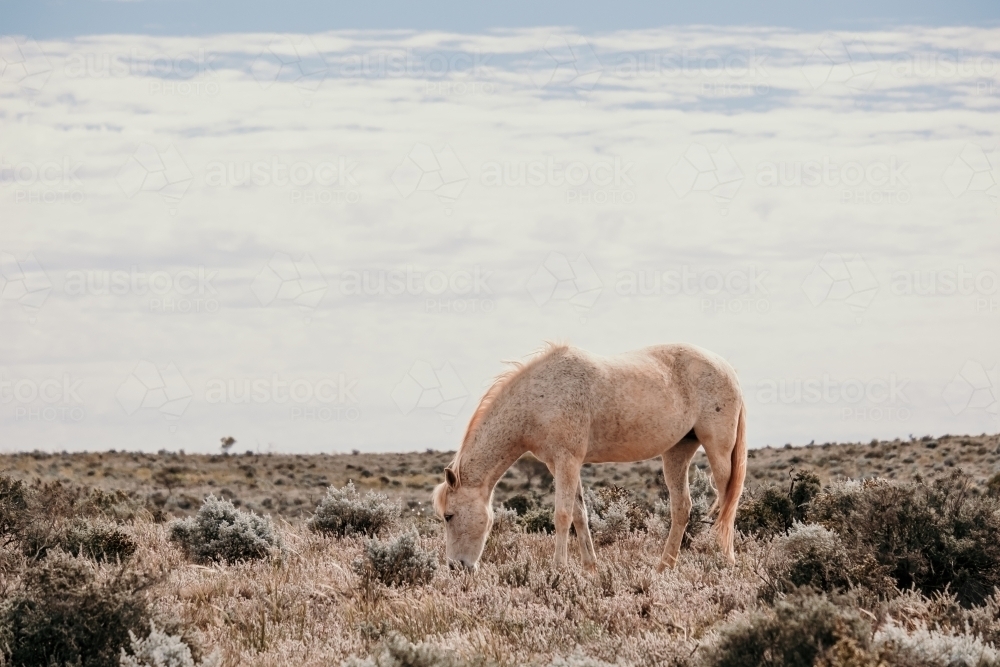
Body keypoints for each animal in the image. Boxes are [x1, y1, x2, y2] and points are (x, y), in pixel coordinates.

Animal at [432, 343, 747, 572]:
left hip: (718, 450)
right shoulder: (560, 464)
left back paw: (726, 561)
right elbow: (580, 514)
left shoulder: (566, 460)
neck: (537, 399)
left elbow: (561, 514)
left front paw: (558, 569)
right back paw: (664, 566)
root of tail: (728, 368)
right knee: (682, 508)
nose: (456, 567)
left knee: (727, 503)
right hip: (677, 452)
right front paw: (590, 568)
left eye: (449, 516)